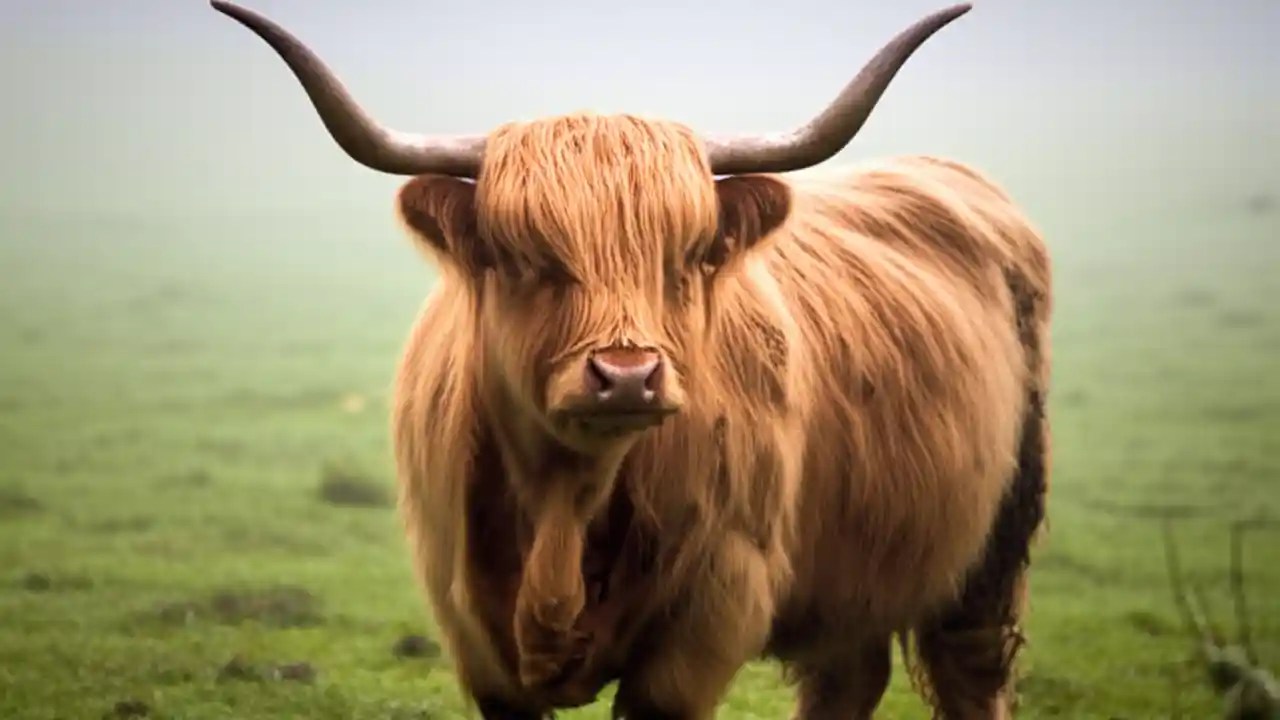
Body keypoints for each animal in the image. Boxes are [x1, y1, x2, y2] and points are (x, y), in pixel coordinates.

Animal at [211, 2, 1052, 718]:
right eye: (526, 257)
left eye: (684, 256)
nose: (625, 377)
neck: (563, 505)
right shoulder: (475, 641)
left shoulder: (706, 622)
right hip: (852, 581)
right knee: (847, 674)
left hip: (994, 548)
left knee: (969, 670)